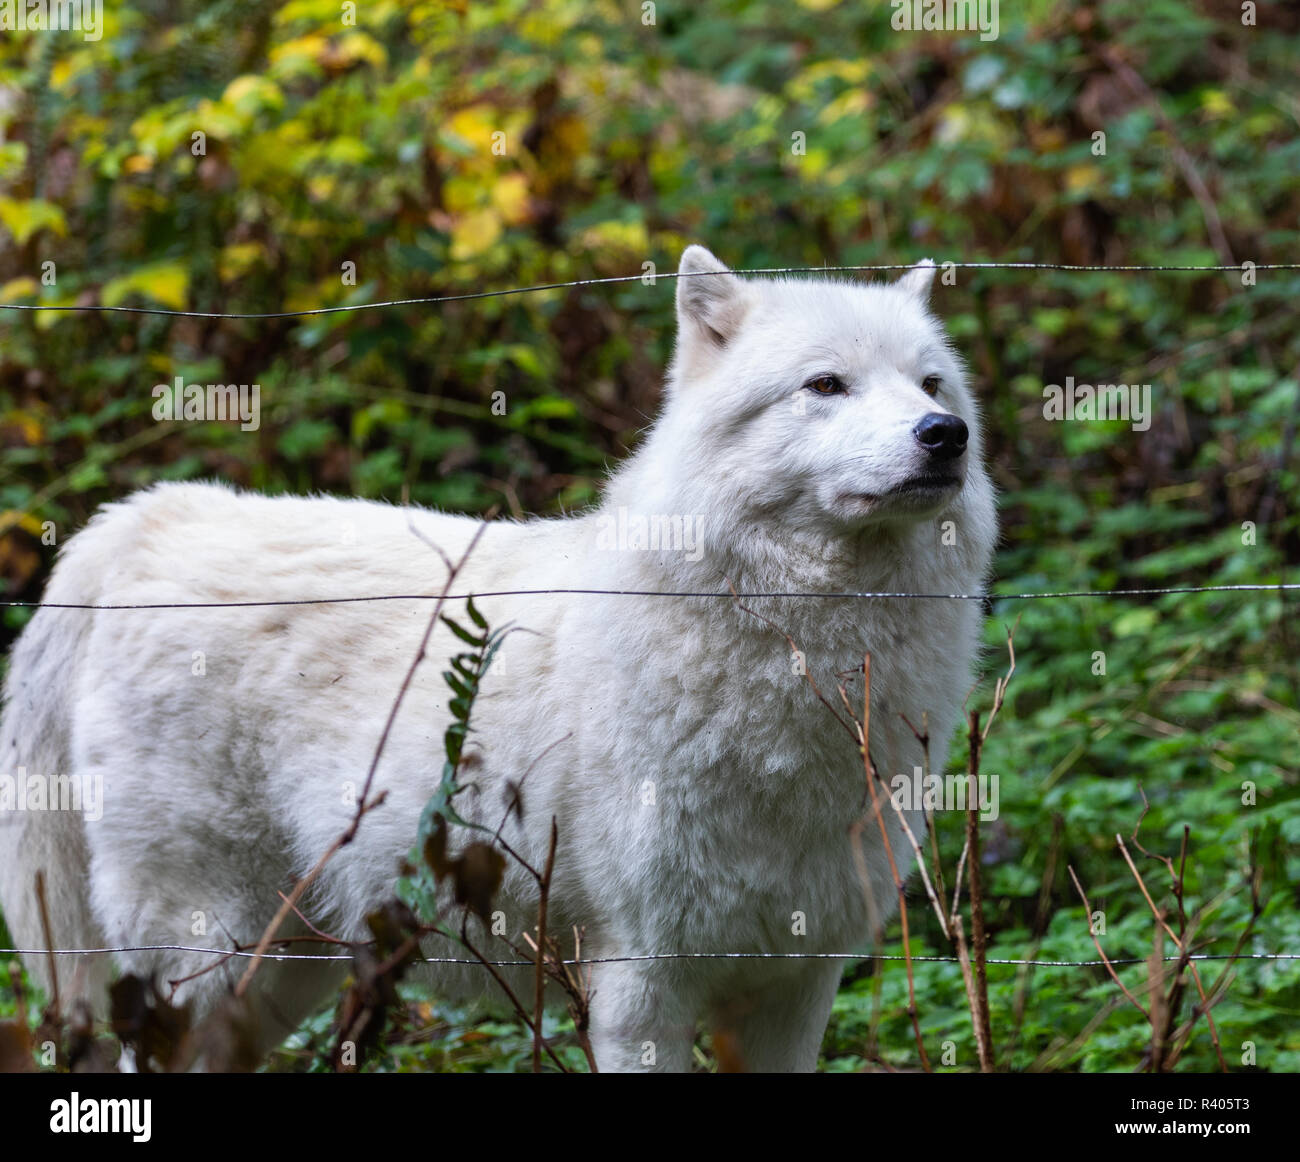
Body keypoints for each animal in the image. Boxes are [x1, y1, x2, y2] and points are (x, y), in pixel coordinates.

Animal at [0, 246, 996, 1071]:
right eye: (826, 384)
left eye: (930, 383)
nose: (944, 434)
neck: (796, 665)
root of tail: (141, 516)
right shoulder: (640, 985)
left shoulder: (798, 982)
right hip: (207, 952)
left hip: (286, 966)